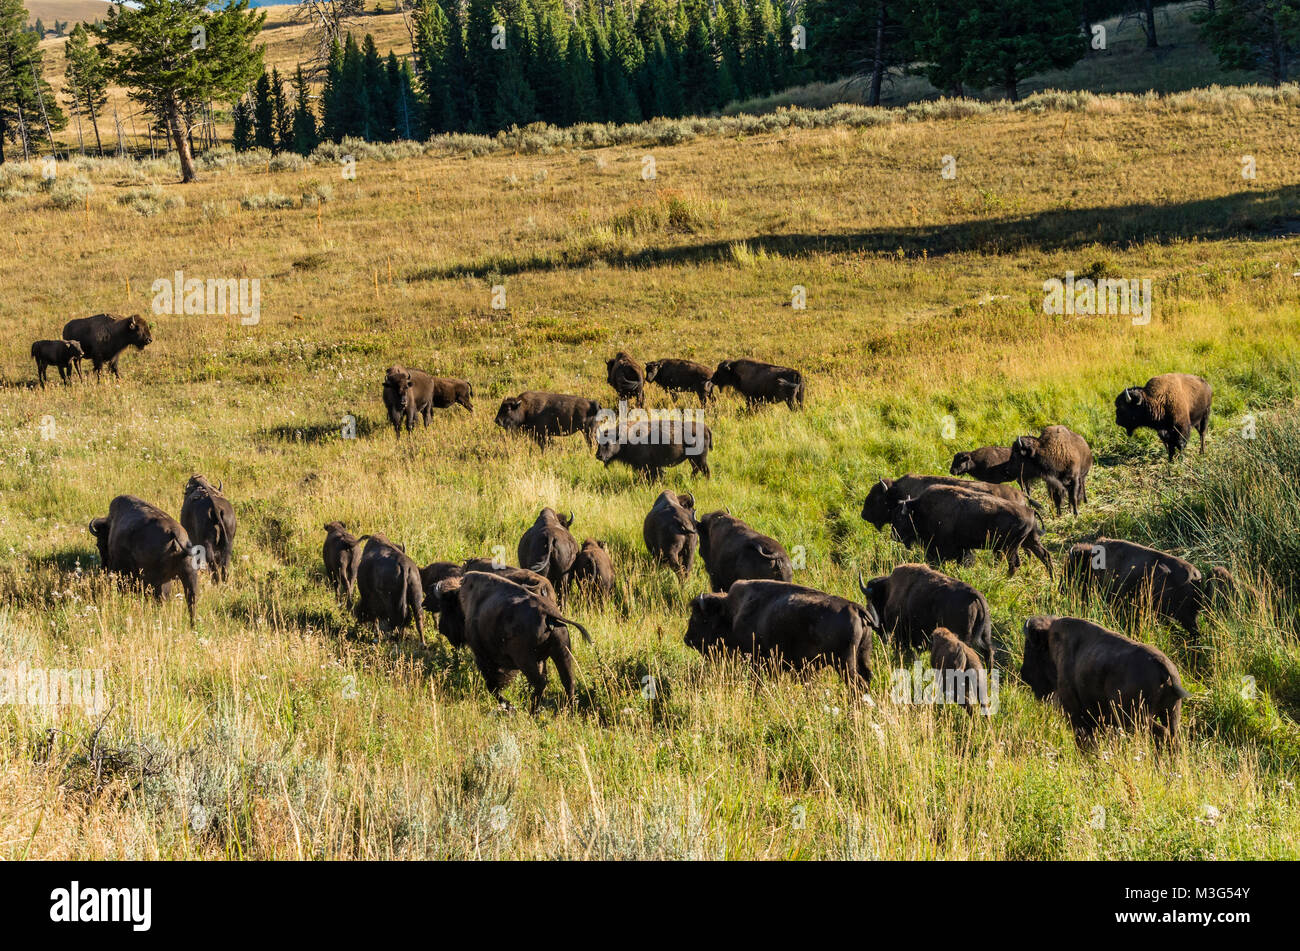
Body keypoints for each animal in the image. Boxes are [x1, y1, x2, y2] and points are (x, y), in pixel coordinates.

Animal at [685, 580, 879, 690]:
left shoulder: (758, 660)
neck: (732, 613)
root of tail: (855, 608)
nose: (687, 639)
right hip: (863, 657)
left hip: (844, 663)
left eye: (700, 618)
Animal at [1020, 614, 1188, 748]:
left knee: (1163, 734)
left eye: (1029, 648)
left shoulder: (1076, 715)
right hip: (1171, 713)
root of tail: (1163, 665)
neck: (1053, 642)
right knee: (1173, 738)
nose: (1024, 674)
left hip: (1137, 717)